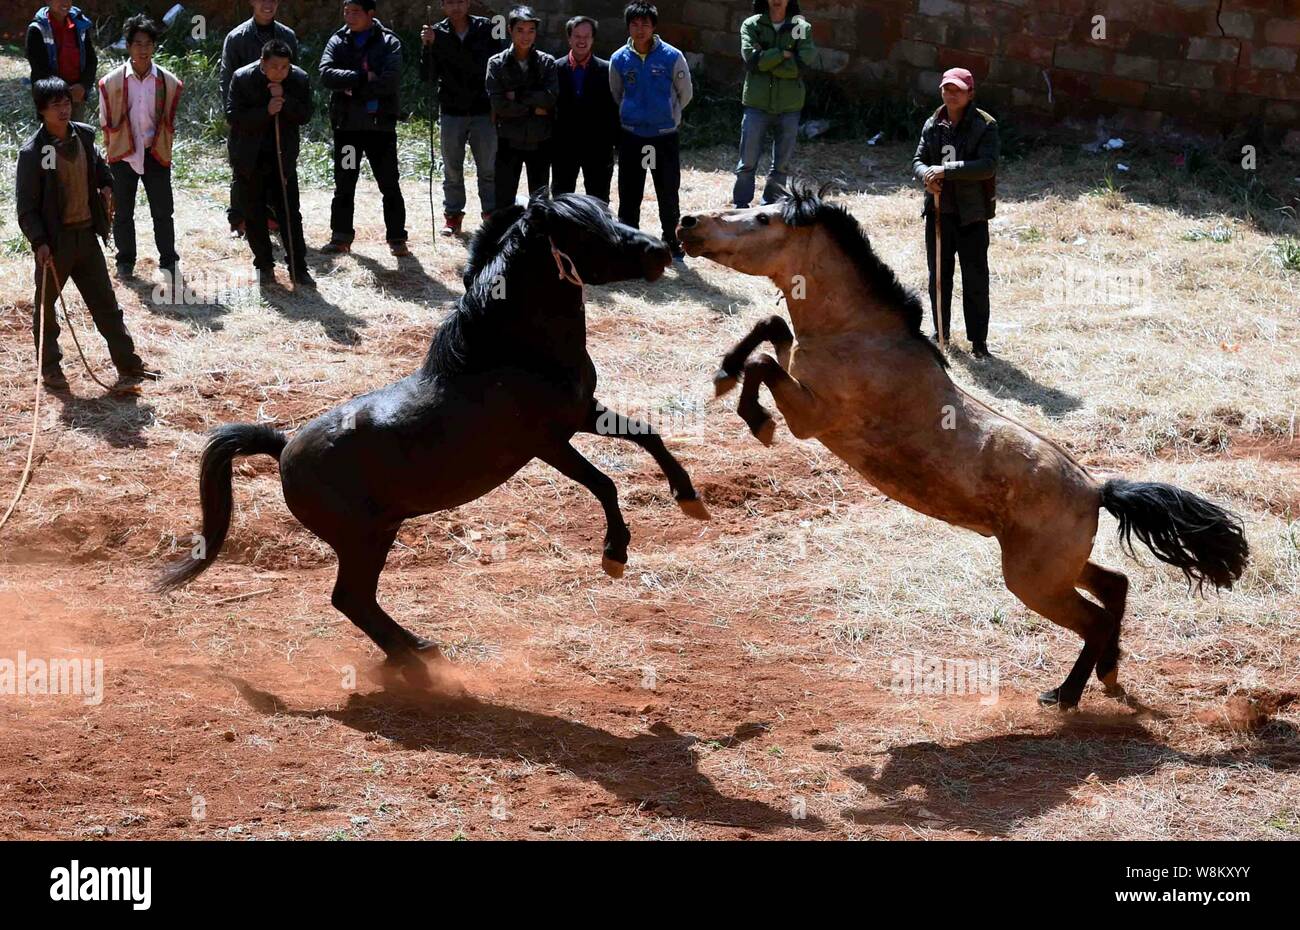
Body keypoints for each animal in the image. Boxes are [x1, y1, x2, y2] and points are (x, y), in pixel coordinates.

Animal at [159, 189, 710, 683]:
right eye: (583, 229)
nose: (661, 250)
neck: (511, 351)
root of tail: (283, 447)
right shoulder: (548, 443)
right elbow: (604, 484)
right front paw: (615, 554)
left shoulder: (582, 413)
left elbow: (648, 436)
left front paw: (689, 500)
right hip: (362, 539)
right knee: (350, 598)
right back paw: (413, 658)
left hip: (378, 533)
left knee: (358, 600)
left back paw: (416, 647)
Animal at [677, 181, 1249, 711]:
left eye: (762, 219)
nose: (686, 222)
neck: (858, 335)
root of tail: (1096, 490)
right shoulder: (798, 370)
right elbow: (769, 328)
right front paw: (724, 373)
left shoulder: (809, 416)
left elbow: (763, 365)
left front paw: (754, 417)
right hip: (1057, 567)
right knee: (1115, 588)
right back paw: (1107, 674)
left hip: (1034, 581)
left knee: (1094, 620)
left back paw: (1064, 694)